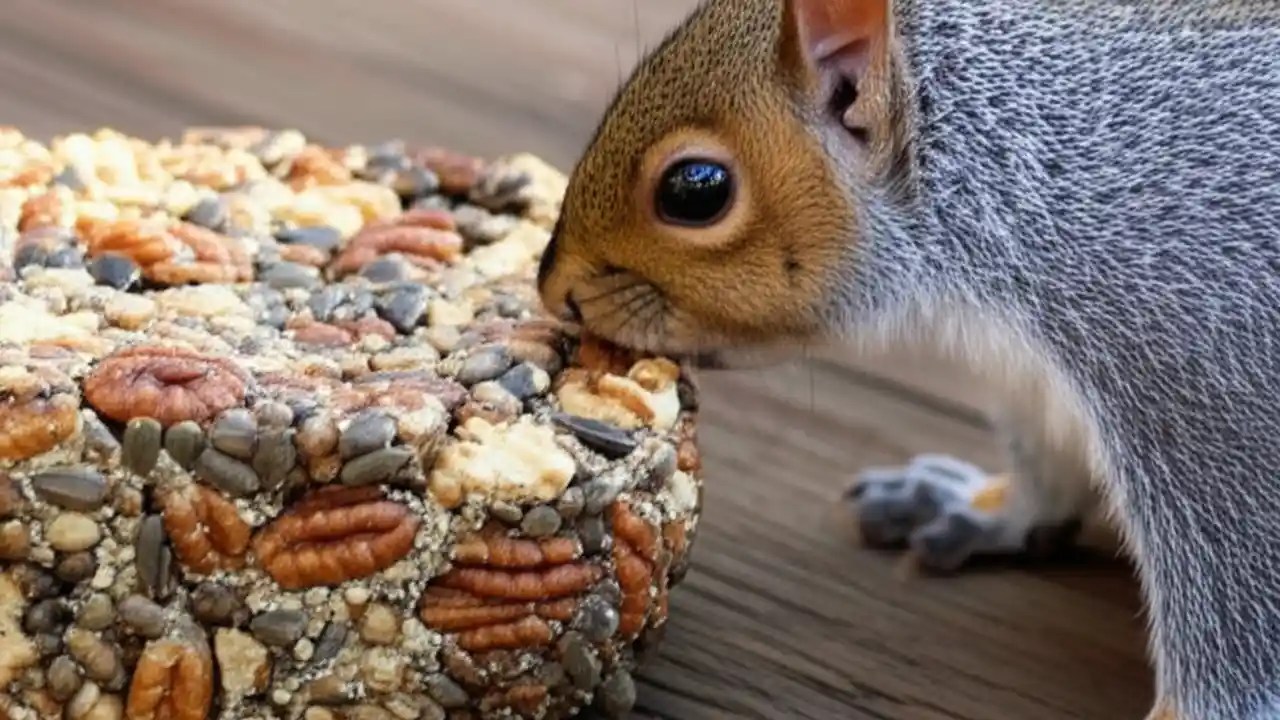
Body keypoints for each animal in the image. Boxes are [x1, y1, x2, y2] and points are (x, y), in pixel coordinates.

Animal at [536, 0, 1280, 718]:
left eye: (696, 189)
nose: (553, 290)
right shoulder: (1034, 382)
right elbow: (1047, 467)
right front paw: (980, 506)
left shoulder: (1191, 362)